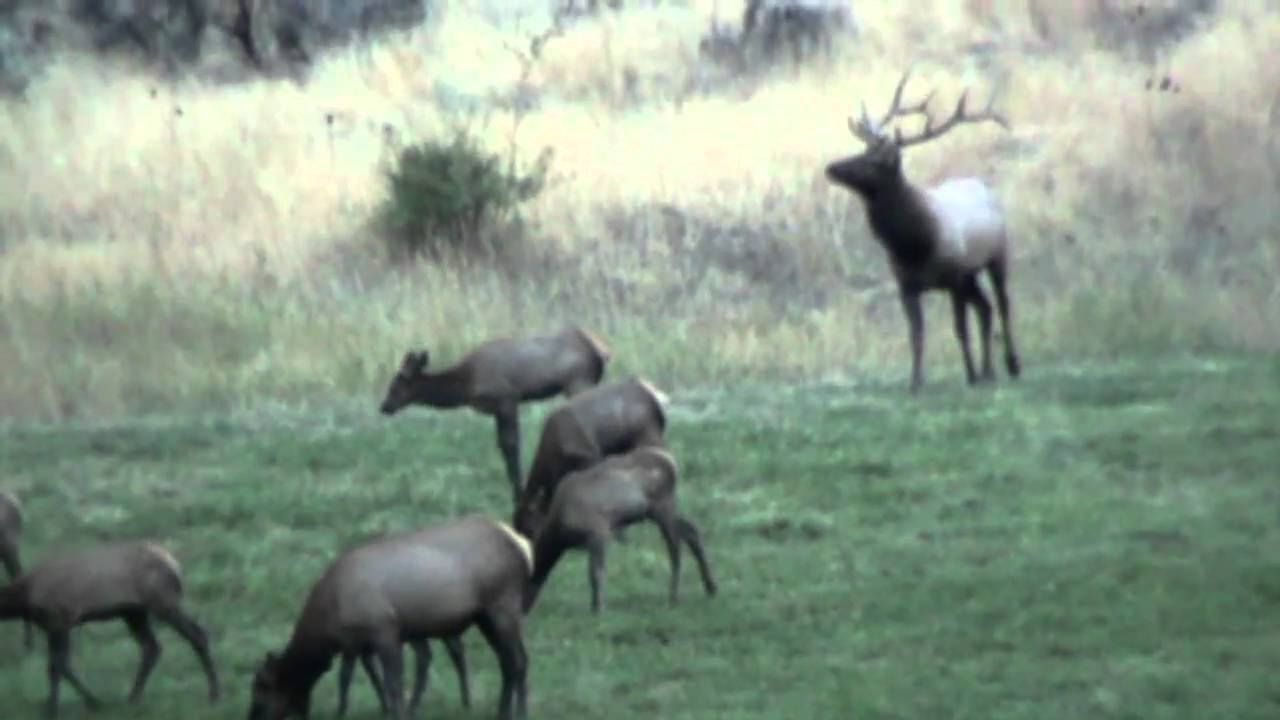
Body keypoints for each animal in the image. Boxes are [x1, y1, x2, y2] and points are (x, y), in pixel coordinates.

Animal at [0, 540, 221, 718]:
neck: (23, 602)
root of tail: (176, 567)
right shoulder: (53, 626)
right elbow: (61, 666)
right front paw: (90, 703)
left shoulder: (59, 620)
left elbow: (57, 667)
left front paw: (55, 709)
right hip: (134, 613)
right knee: (152, 647)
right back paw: (133, 698)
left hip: (162, 603)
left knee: (197, 635)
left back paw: (214, 695)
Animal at [247, 515, 533, 720]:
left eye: (261, 688)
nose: (251, 716)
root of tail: (522, 547)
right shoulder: (356, 644)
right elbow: (354, 679)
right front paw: (349, 709)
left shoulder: (385, 631)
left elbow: (393, 684)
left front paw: (398, 712)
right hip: (483, 616)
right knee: (510, 661)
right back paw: (507, 710)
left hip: (502, 606)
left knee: (517, 660)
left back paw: (516, 712)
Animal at [379, 326, 613, 506]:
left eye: (395, 385)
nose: (384, 406)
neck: (466, 385)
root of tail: (602, 350)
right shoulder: (498, 409)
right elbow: (503, 446)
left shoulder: (506, 399)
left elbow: (511, 445)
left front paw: (518, 495)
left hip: (578, 381)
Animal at [517, 446, 718, 614]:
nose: (522, 611)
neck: (559, 533)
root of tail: (672, 462)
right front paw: (594, 604)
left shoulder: (597, 531)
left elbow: (595, 573)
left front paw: (599, 608)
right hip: (654, 512)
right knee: (691, 531)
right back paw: (710, 587)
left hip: (662, 506)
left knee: (675, 545)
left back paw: (674, 597)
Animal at [824, 69, 1021, 393]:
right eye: (862, 150)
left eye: (874, 160)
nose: (831, 167)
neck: (913, 245)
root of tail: (983, 186)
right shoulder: (906, 285)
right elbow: (916, 336)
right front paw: (915, 383)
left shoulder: (953, 277)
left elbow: (959, 329)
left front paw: (970, 376)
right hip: (970, 275)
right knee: (985, 308)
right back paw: (989, 371)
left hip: (997, 256)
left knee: (1002, 304)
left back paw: (1011, 365)